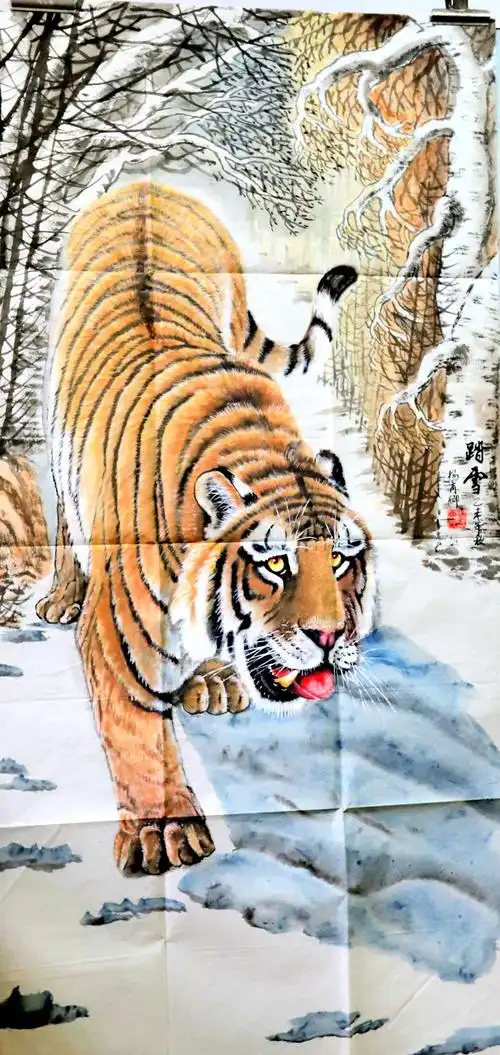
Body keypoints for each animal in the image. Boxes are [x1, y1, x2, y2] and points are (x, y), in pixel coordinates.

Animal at [37, 181, 373, 876]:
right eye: (275, 564)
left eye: (343, 560)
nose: (330, 638)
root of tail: (148, 185)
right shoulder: (113, 634)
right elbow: (140, 734)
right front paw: (164, 833)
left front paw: (213, 678)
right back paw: (59, 595)